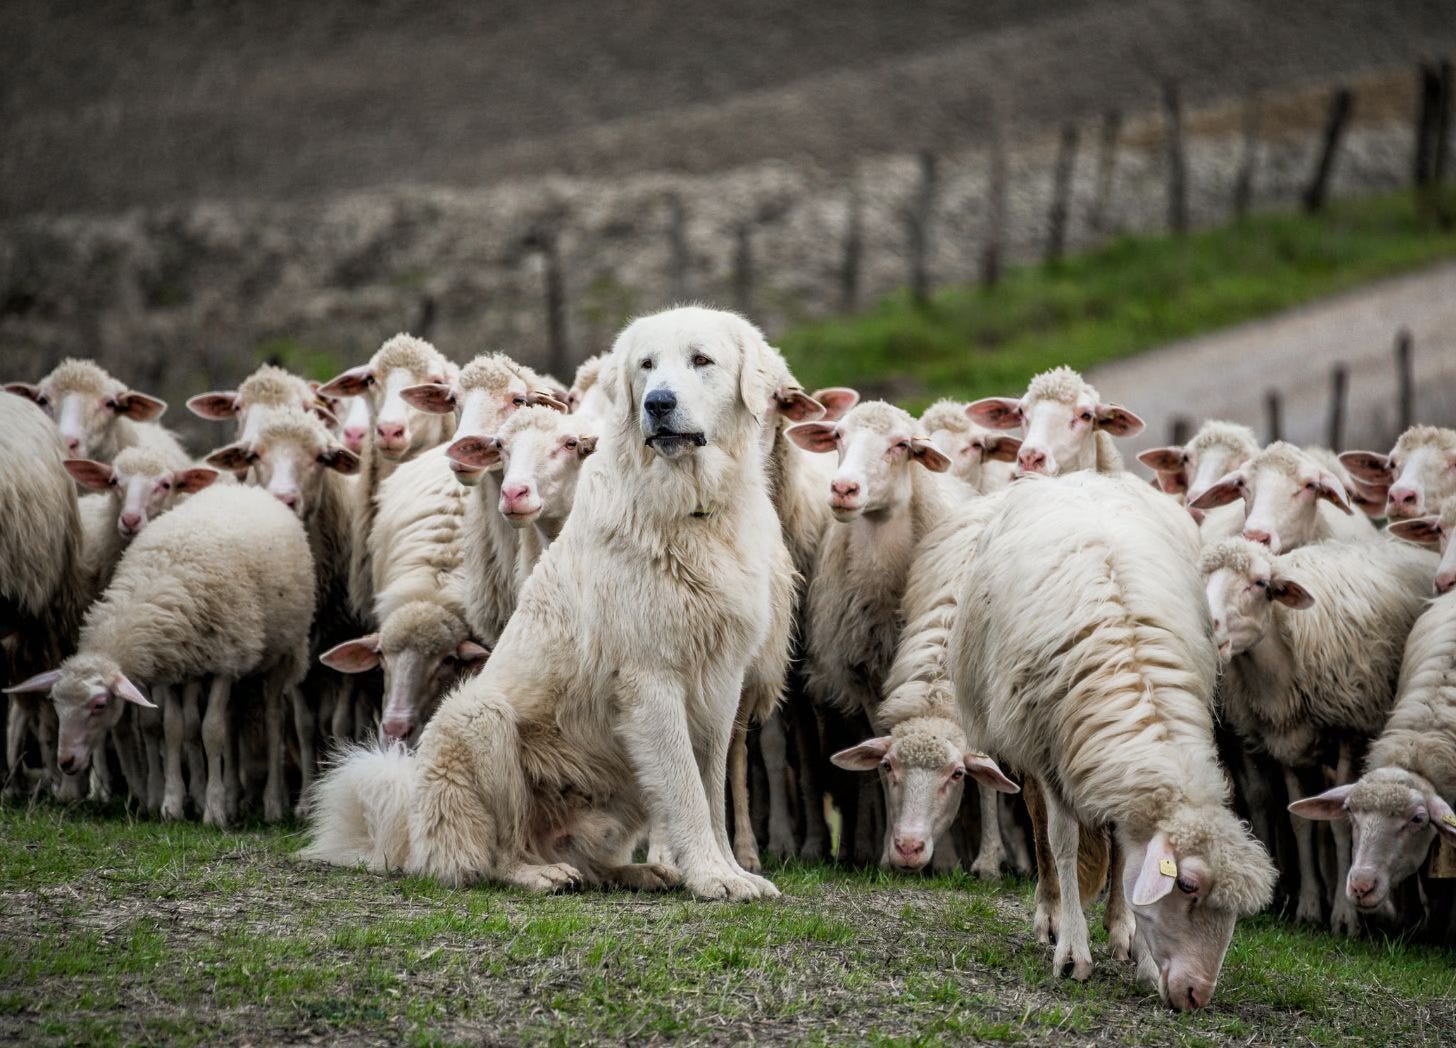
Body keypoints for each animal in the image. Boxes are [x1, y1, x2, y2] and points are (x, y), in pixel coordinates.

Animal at [5, 485, 315, 825]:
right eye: (56, 704)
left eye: (100, 705)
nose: (66, 762)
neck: (153, 589)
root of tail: (243, 487)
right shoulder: (172, 666)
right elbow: (171, 727)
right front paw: (172, 803)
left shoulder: (223, 662)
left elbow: (212, 731)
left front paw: (213, 810)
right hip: (227, 663)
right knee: (229, 719)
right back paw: (233, 797)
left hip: (281, 652)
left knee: (274, 719)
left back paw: (273, 804)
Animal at [302, 306, 785, 901]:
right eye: (647, 366)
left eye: (701, 360)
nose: (657, 403)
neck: (690, 511)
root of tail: (410, 831)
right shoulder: (651, 679)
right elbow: (687, 791)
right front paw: (712, 878)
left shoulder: (721, 681)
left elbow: (712, 790)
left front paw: (731, 872)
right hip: (479, 716)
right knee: (498, 852)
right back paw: (540, 873)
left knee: (590, 858)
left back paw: (636, 872)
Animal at [952, 472, 1274, 1010]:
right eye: (1188, 885)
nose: (1196, 996)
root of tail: (1080, 475)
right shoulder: (1049, 749)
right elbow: (1061, 840)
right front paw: (1072, 953)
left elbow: (1127, 856)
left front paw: (1139, 956)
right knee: (1039, 824)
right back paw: (1051, 914)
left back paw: (1120, 931)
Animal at [1200, 535, 1435, 933]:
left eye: (1260, 584)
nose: (1209, 629)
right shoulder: (1286, 743)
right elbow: (1299, 821)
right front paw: (1309, 907)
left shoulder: (1350, 735)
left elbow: (1339, 824)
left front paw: (1343, 917)